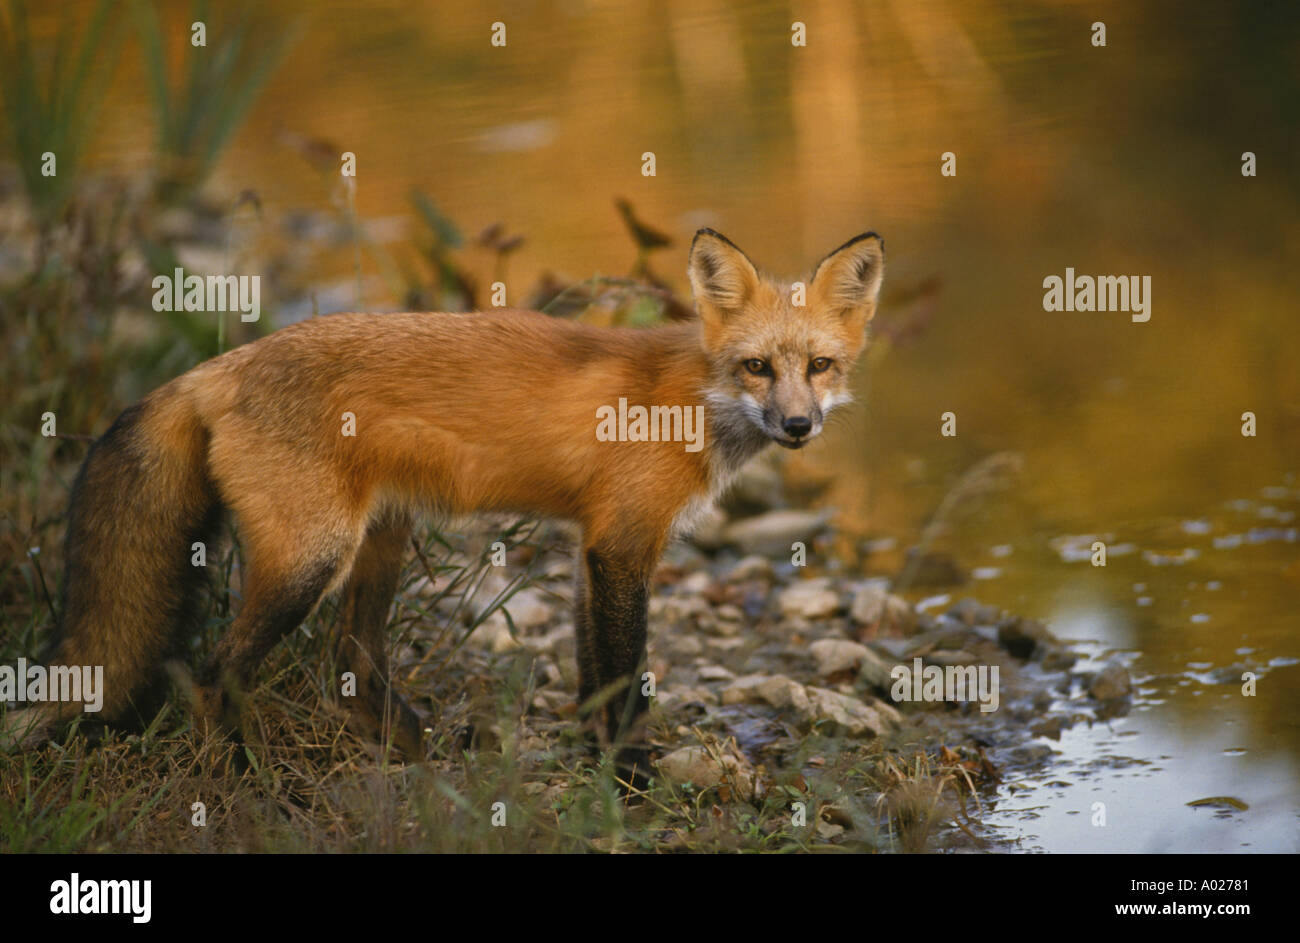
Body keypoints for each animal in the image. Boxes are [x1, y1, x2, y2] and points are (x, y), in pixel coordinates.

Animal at [1, 228, 884, 783]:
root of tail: (215, 368)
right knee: (215, 670)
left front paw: (601, 767)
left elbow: (593, 677)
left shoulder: (589, 547)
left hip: (378, 541)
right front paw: (633, 778)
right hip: (311, 558)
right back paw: (245, 777)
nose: (798, 426)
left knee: (351, 663)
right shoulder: (623, 547)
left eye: (821, 366)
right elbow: (625, 678)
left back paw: (418, 759)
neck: (688, 398)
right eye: (758, 366)